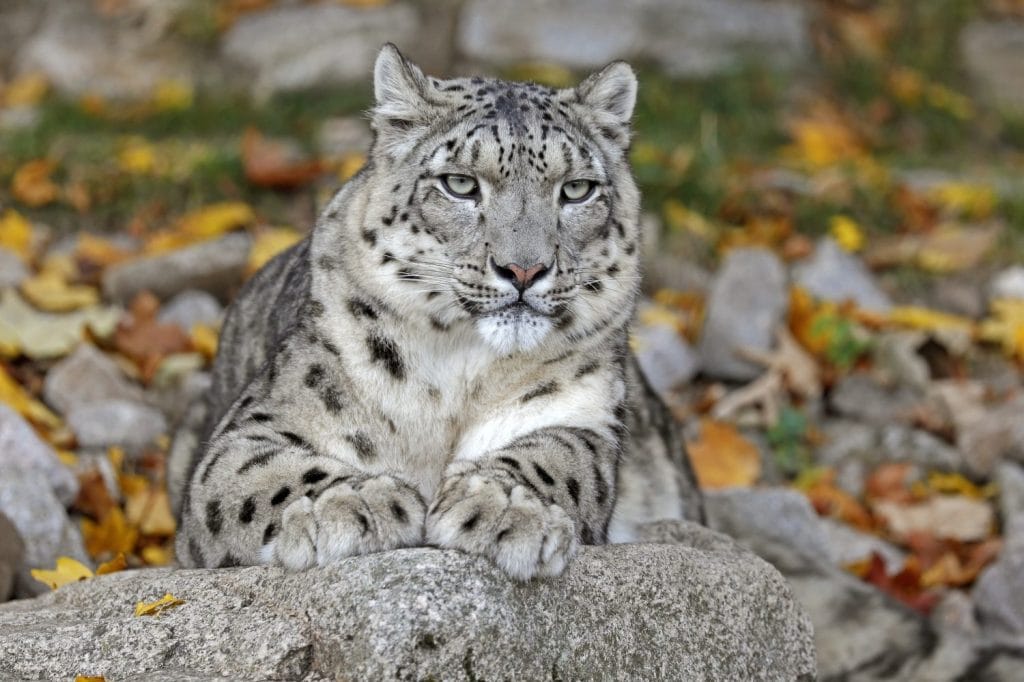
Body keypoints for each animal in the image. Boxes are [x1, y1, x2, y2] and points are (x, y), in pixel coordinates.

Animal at [168, 44, 704, 581]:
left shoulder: (583, 415)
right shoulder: (257, 425)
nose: (524, 269)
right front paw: (354, 502)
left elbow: (558, 457)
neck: (457, 381)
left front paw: (504, 505)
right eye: (460, 184)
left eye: (576, 189)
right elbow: (256, 473)